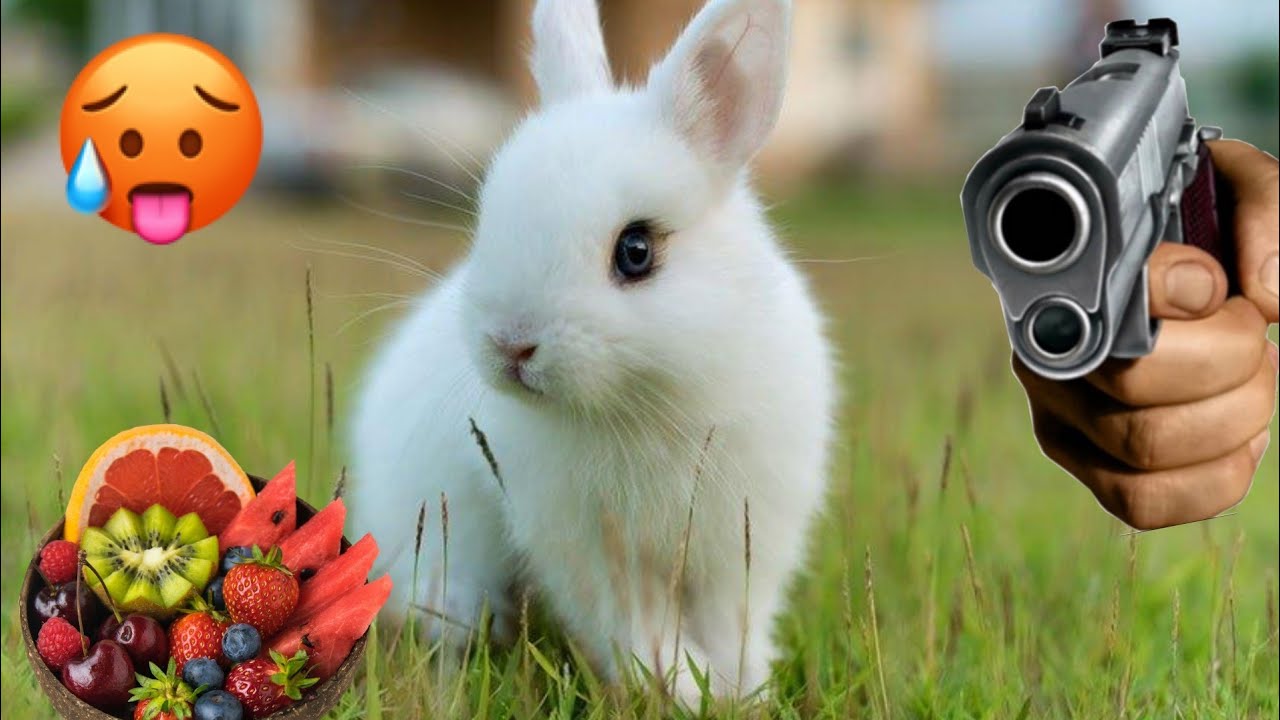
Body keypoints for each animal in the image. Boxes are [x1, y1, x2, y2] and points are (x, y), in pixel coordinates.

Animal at [349, 0, 836, 702]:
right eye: (488, 221)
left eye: (636, 250)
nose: (510, 344)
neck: (651, 402)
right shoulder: (592, 554)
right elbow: (638, 628)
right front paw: (684, 691)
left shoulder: (744, 543)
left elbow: (732, 623)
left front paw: (744, 691)